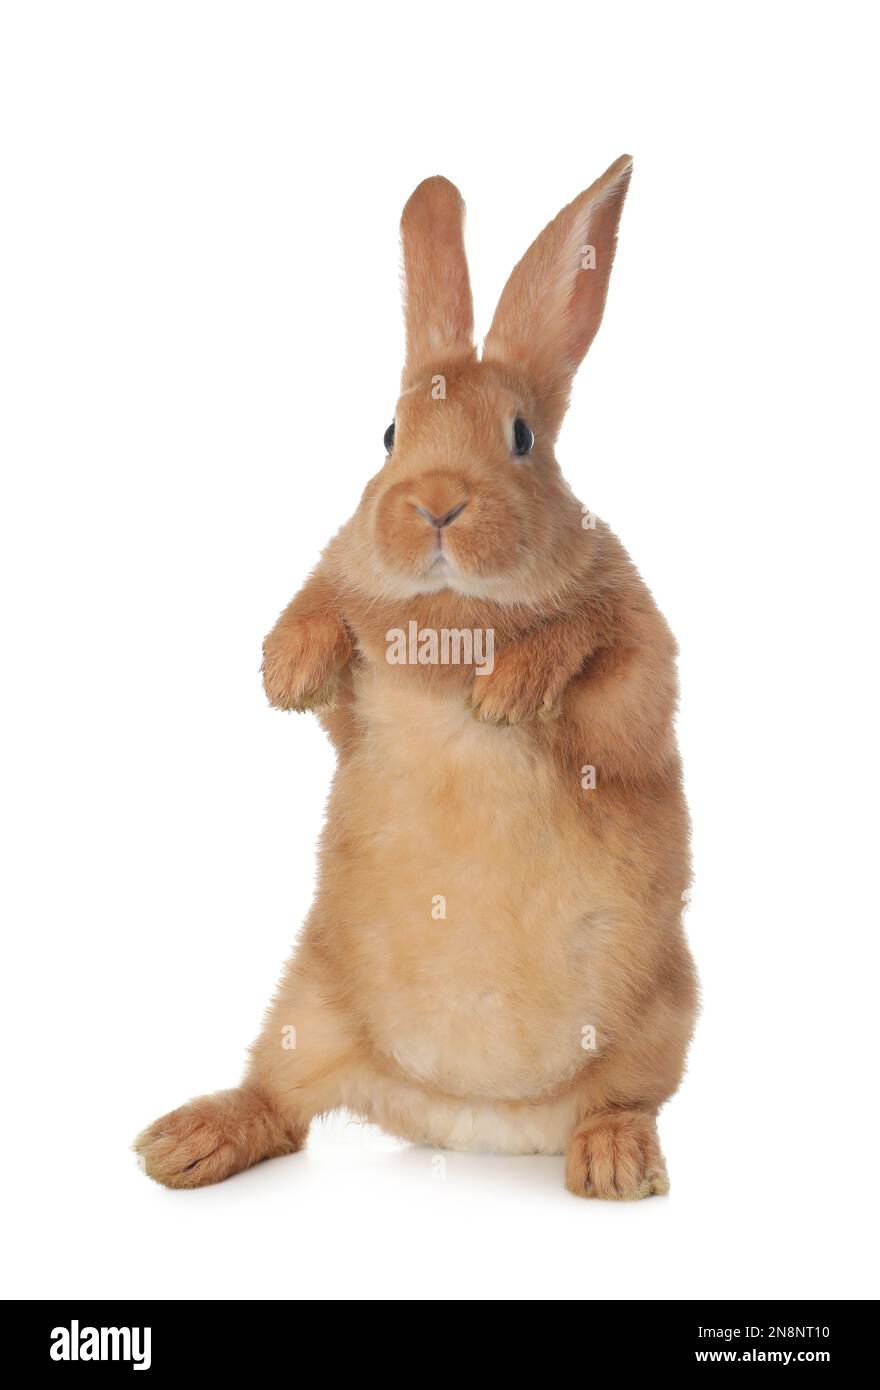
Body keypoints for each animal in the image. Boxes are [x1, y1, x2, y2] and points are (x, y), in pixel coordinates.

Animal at [134, 154, 697, 1200]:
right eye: (390, 432)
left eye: (522, 436)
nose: (436, 503)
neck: (453, 614)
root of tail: (471, 1123)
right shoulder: (355, 670)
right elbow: (325, 608)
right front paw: (288, 669)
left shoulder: (638, 680)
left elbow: (588, 637)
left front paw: (508, 689)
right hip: (306, 1006)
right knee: (278, 1102)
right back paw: (186, 1142)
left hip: (661, 1022)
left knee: (625, 1100)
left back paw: (612, 1164)